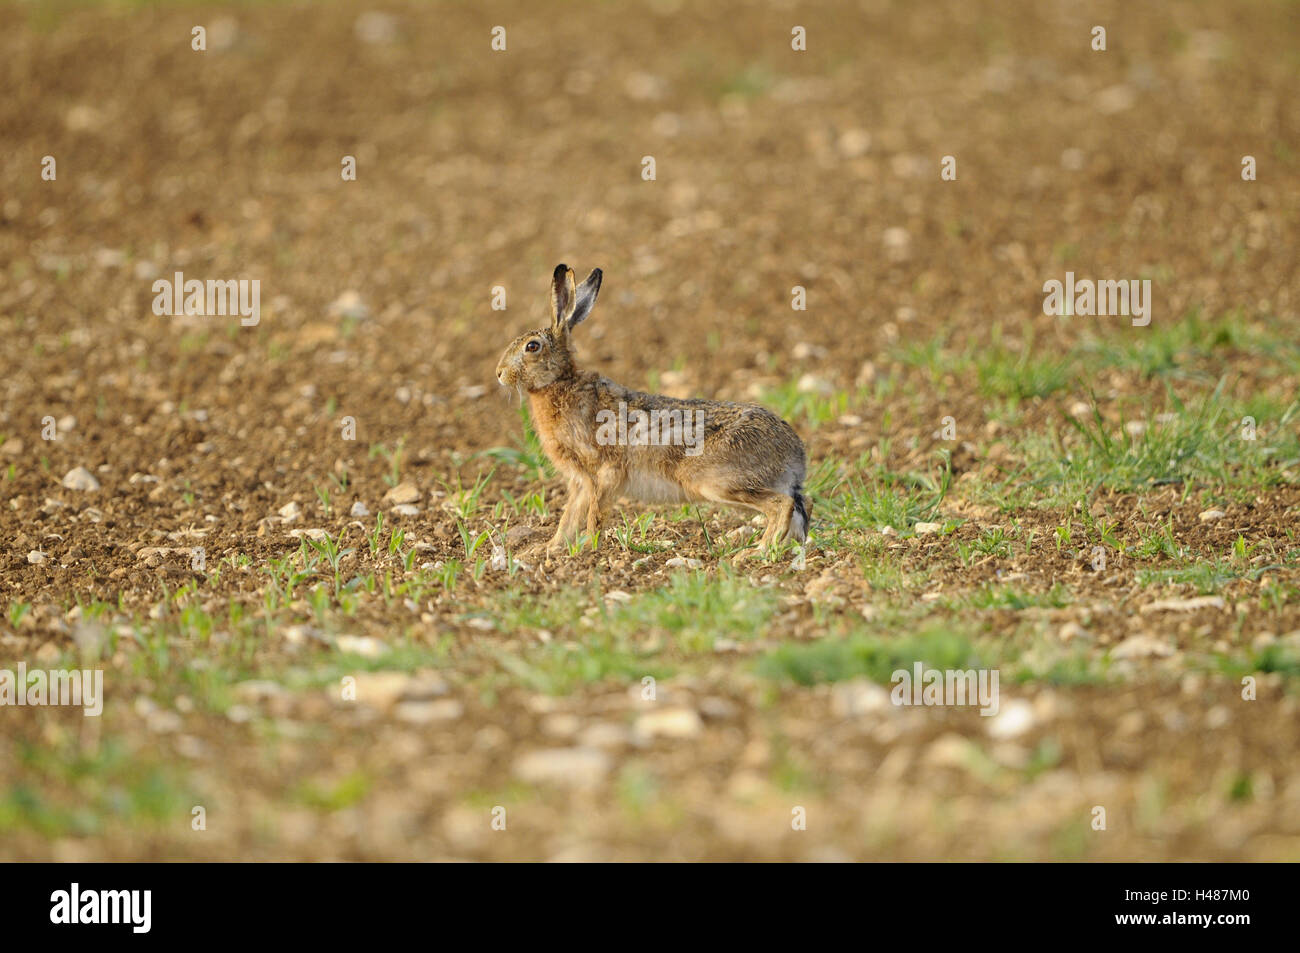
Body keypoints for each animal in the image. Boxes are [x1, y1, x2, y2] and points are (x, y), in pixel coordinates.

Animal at [495, 264, 810, 557]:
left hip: (715, 480)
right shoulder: (580, 482)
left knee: (781, 505)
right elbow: (568, 518)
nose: (499, 373)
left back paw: (756, 552)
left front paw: (589, 550)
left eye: (532, 347)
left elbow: (594, 516)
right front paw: (548, 549)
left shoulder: (604, 472)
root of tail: (795, 454)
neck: (560, 384)